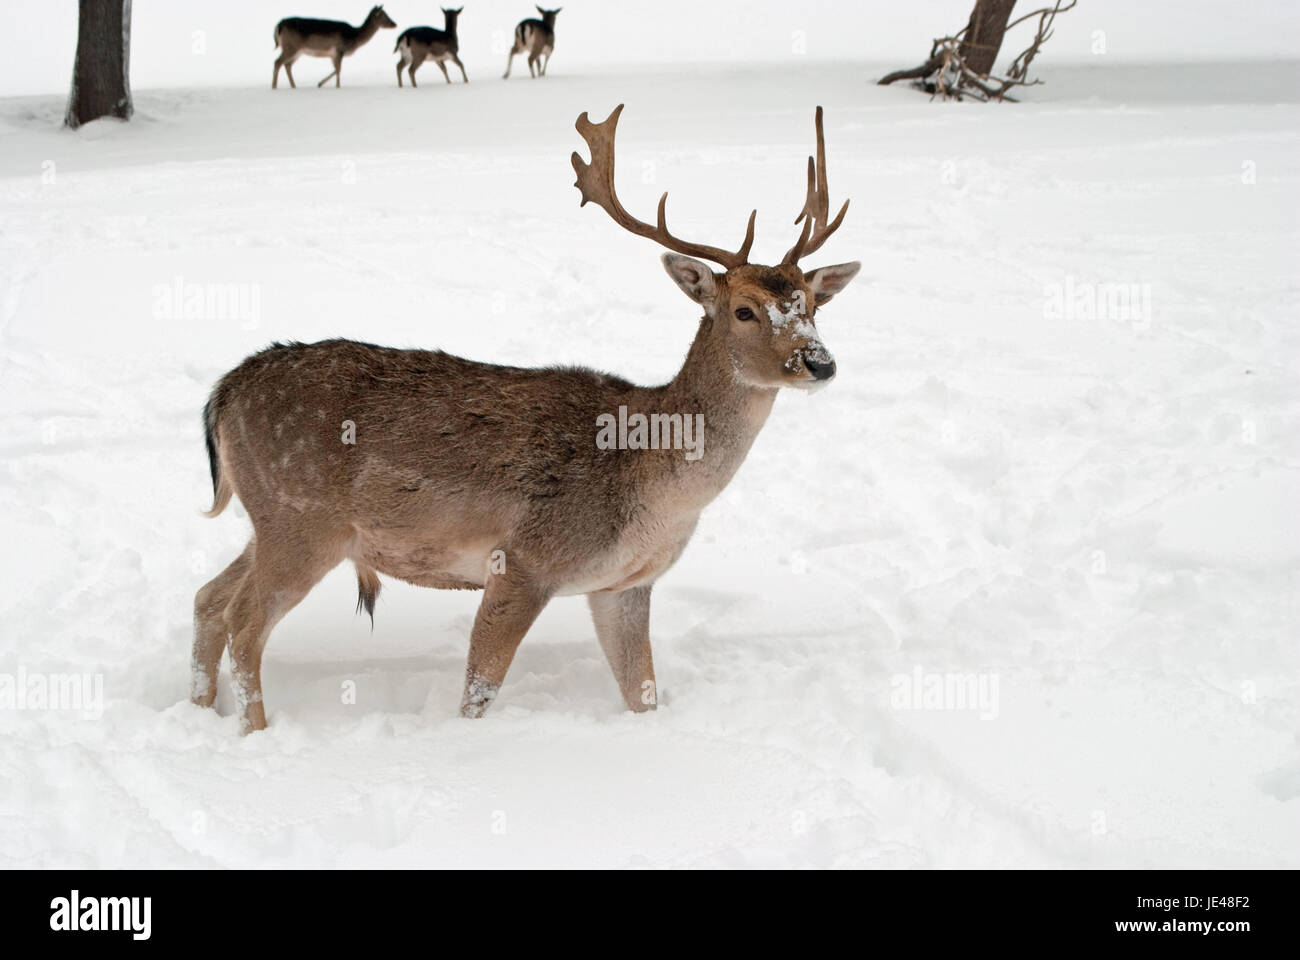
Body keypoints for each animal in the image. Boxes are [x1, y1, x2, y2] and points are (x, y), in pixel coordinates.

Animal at [191, 105, 861, 734]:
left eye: (810, 304)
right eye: (744, 310)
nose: (820, 362)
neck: (654, 485)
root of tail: (223, 392)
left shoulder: (623, 584)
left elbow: (642, 691)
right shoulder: (525, 559)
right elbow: (479, 690)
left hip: (271, 519)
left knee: (207, 599)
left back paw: (198, 711)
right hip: (301, 518)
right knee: (243, 623)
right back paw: (255, 733)